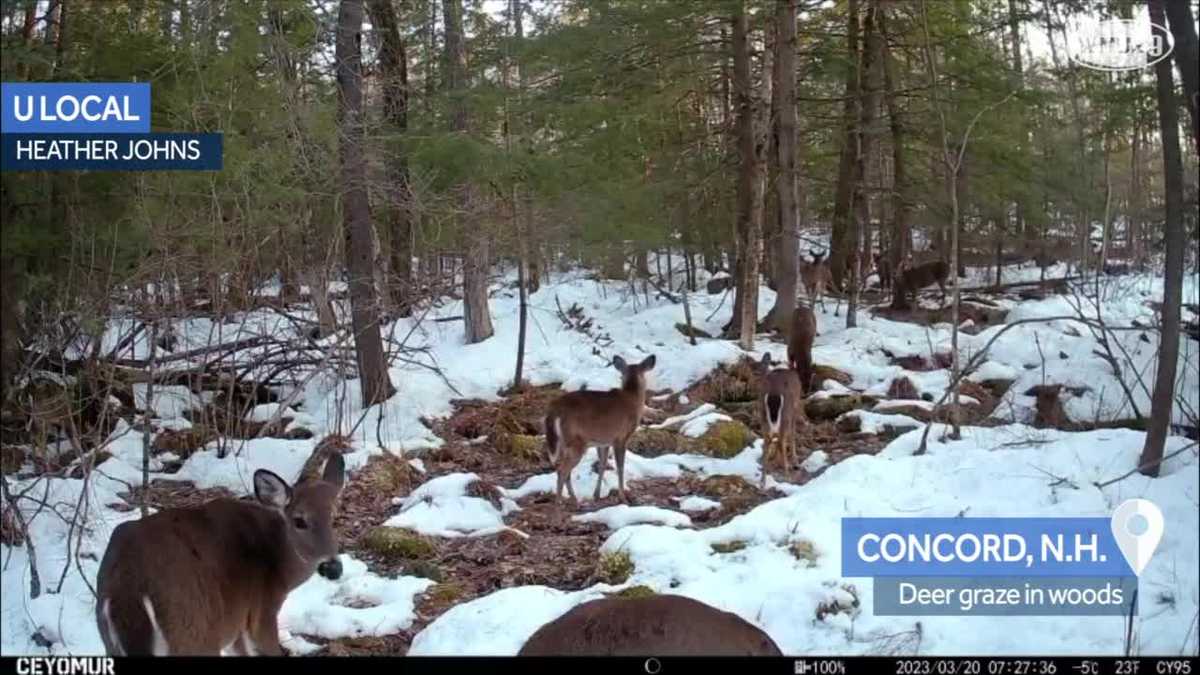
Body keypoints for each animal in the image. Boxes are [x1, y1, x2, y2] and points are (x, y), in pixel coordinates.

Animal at [95, 455, 346, 656]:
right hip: (194, 630)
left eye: (335, 516)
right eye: (299, 520)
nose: (333, 568)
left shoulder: (236, 626)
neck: (280, 570)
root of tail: (128, 588)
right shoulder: (261, 613)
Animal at [544, 354, 656, 507]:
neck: (632, 398)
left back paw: (573, 499)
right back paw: (559, 502)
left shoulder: (603, 442)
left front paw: (596, 495)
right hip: (576, 441)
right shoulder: (620, 437)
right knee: (562, 470)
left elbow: (602, 465)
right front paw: (622, 498)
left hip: (562, 442)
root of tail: (554, 410)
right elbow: (620, 467)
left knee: (561, 468)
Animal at [758, 352, 805, 488]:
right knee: (781, 442)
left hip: (763, 417)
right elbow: (793, 435)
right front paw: (795, 462)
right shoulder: (794, 410)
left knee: (767, 443)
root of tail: (774, 394)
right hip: (786, 415)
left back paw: (762, 482)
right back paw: (788, 476)